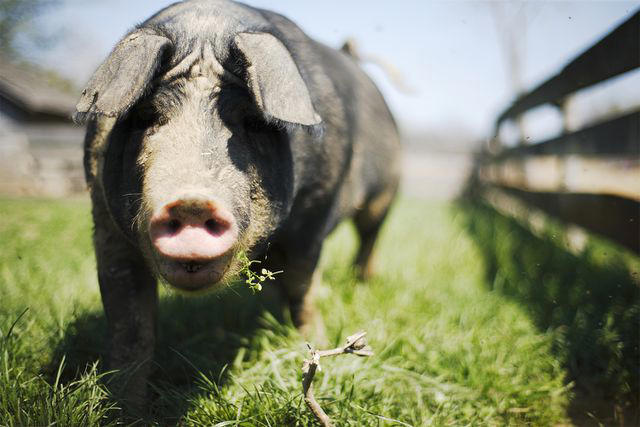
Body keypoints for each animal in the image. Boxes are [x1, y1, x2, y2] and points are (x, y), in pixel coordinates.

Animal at [75, 0, 400, 408]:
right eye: (146, 117)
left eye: (252, 121)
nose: (192, 202)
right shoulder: (106, 225)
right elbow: (130, 328)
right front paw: (125, 408)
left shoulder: (314, 217)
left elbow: (303, 286)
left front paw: (316, 343)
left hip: (385, 194)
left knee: (369, 238)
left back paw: (362, 282)